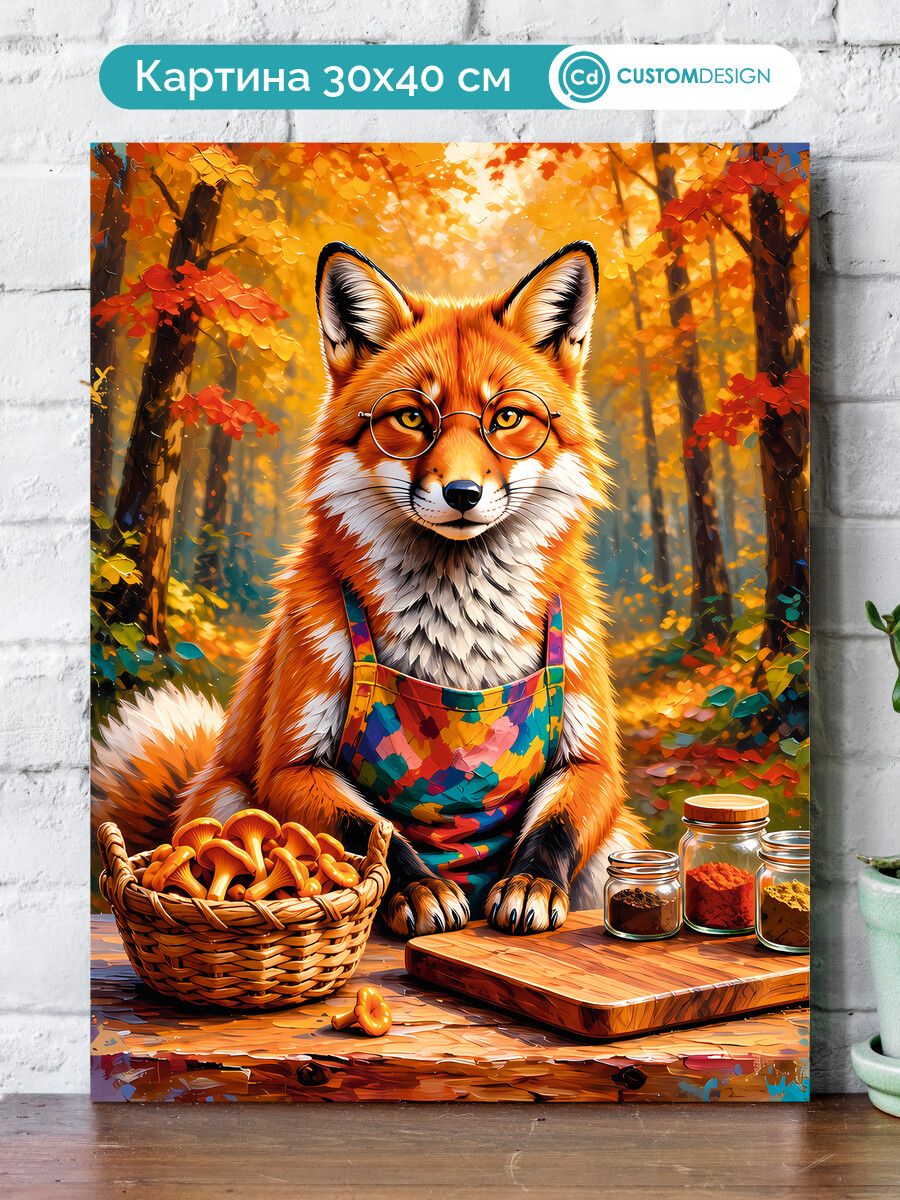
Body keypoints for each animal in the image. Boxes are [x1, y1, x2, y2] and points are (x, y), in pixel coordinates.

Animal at [93, 239, 647, 937]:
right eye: (411, 417)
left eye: (506, 418)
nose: (462, 493)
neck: (458, 643)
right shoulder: (290, 765)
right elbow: (369, 830)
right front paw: (420, 889)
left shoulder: (591, 763)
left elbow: (556, 828)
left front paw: (529, 884)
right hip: (227, 796)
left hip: (618, 846)